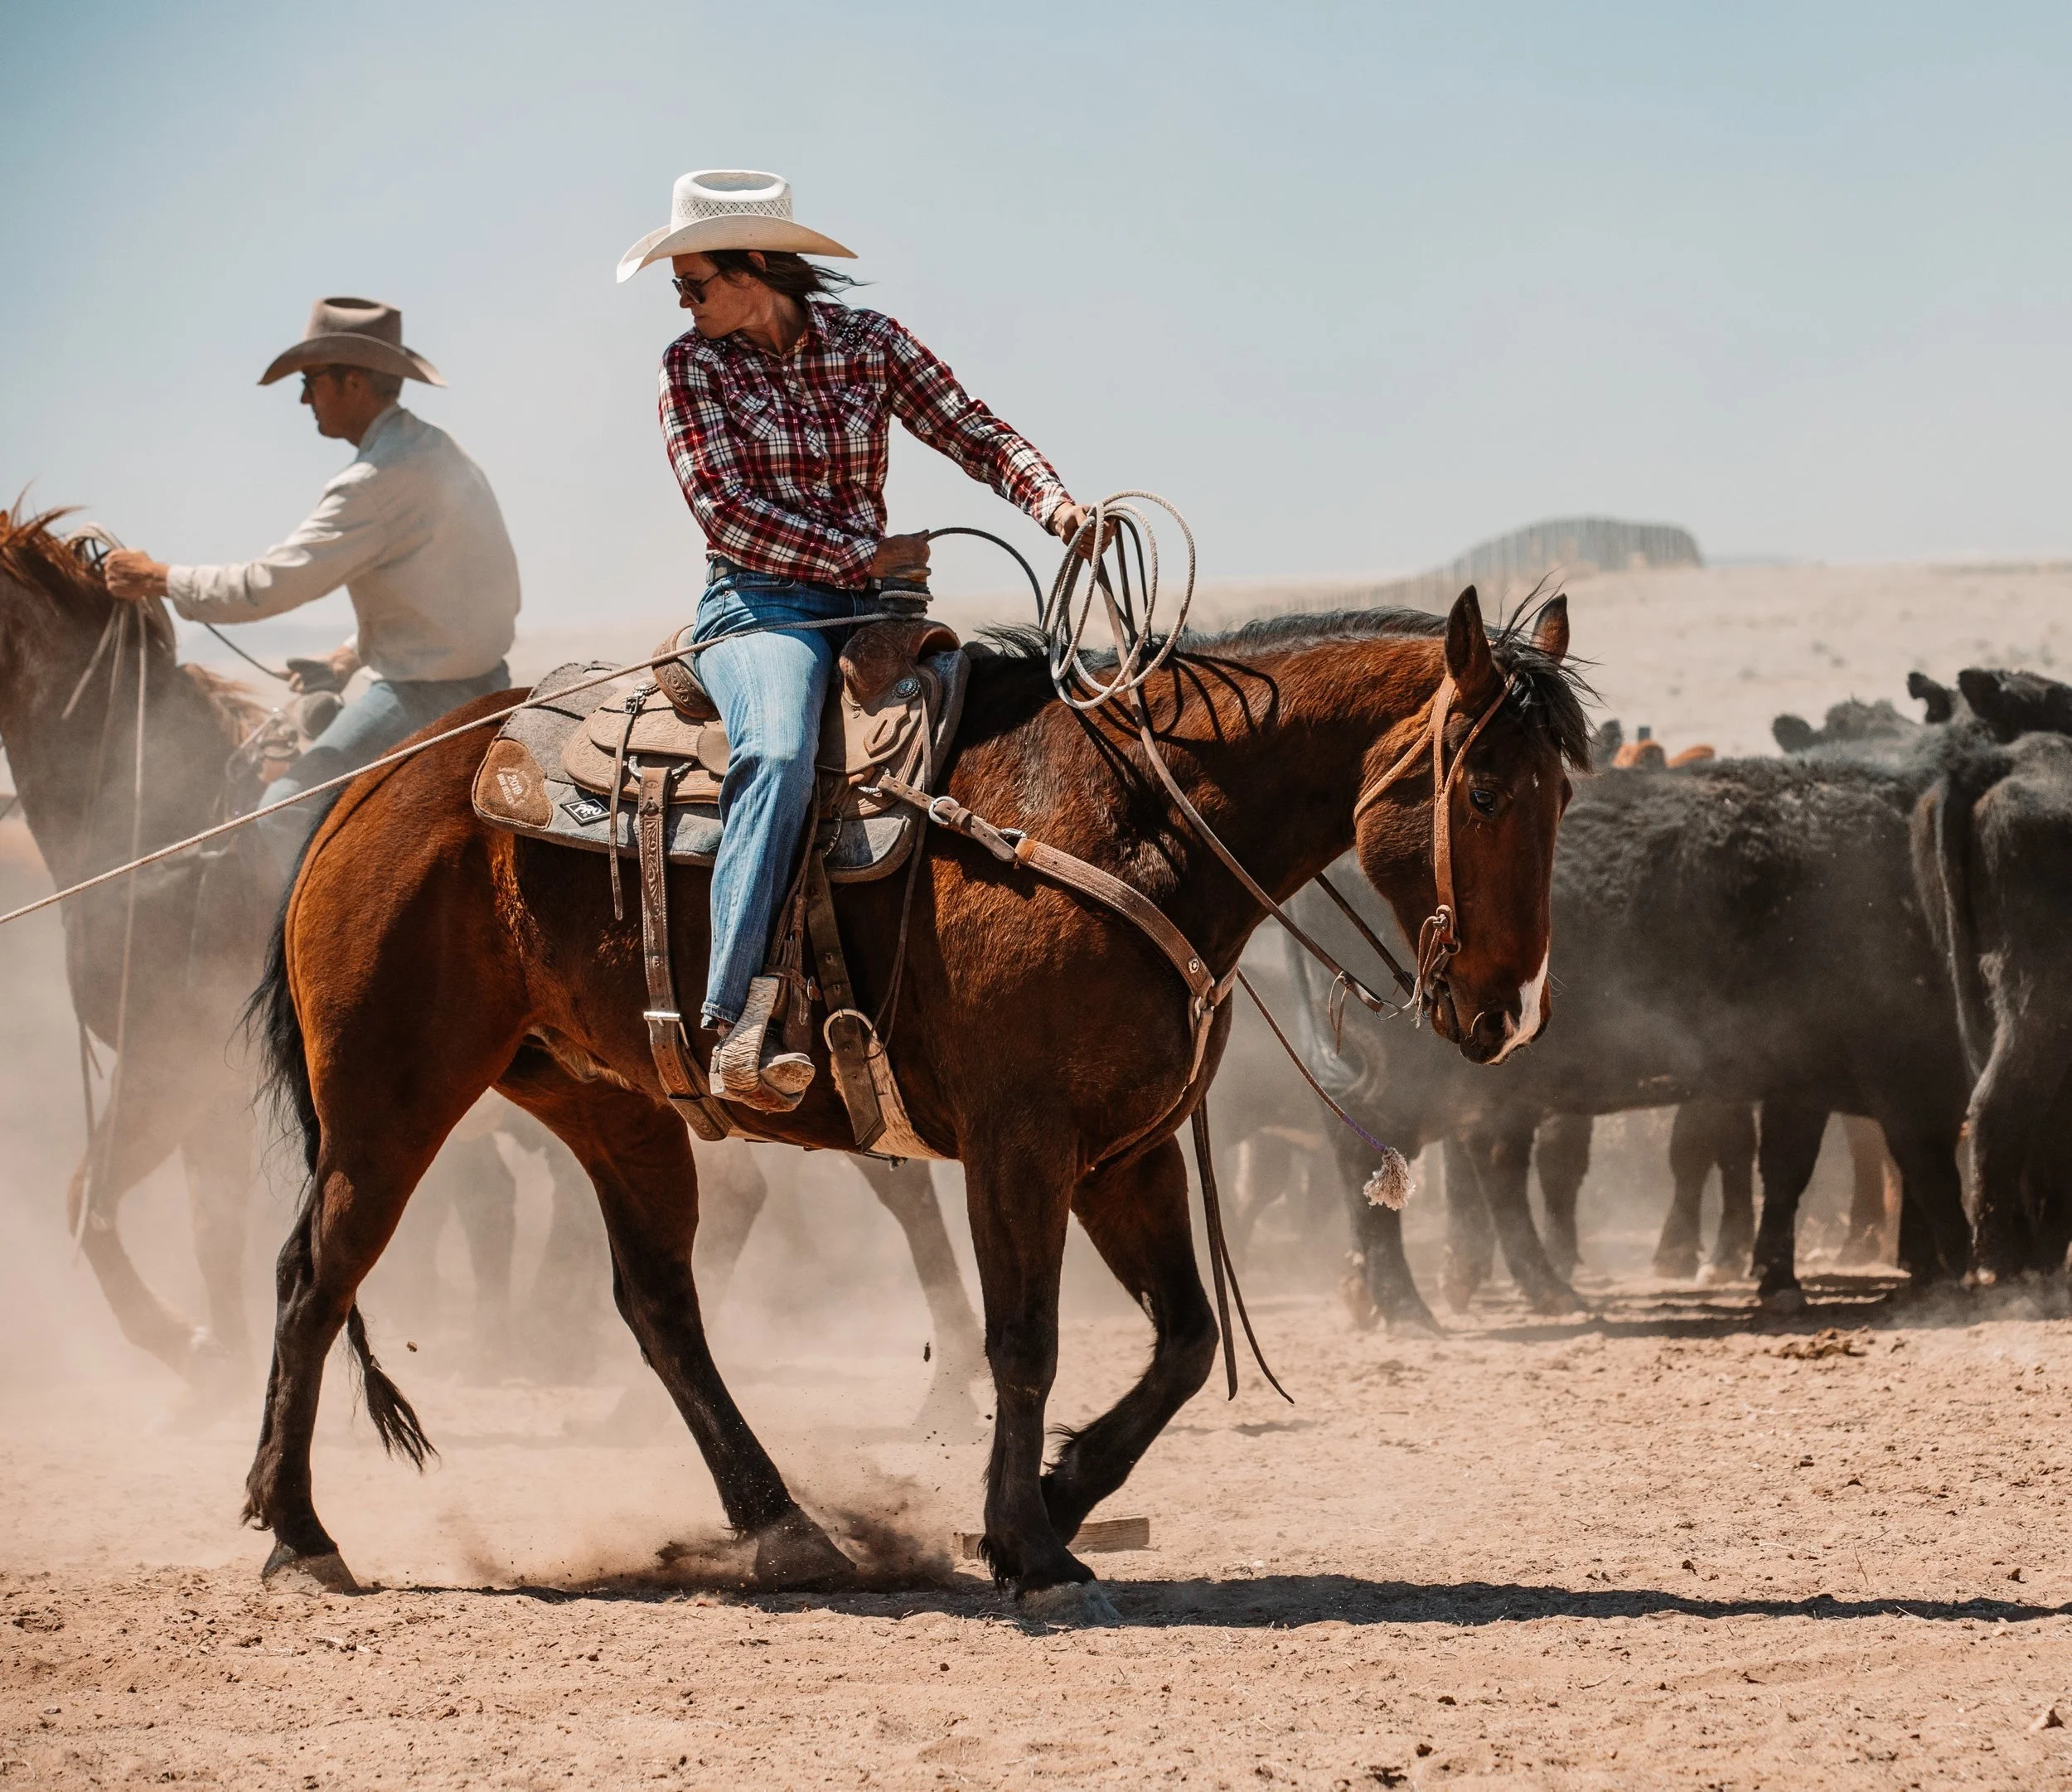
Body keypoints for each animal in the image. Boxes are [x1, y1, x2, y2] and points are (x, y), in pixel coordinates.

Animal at [242, 588, 1586, 1615]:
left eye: (1564, 793)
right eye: (1481, 792)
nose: (1512, 1013)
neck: (1131, 819)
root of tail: (370, 791)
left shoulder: (1126, 1154)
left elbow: (1187, 1340)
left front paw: (1050, 1500)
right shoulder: (1022, 1143)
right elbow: (1024, 1338)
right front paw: (1032, 1546)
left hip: (606, 1104)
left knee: (659, 1305)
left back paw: (782, 1523)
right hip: (388, 1098)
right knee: (316, 1276)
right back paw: (300, 1532)